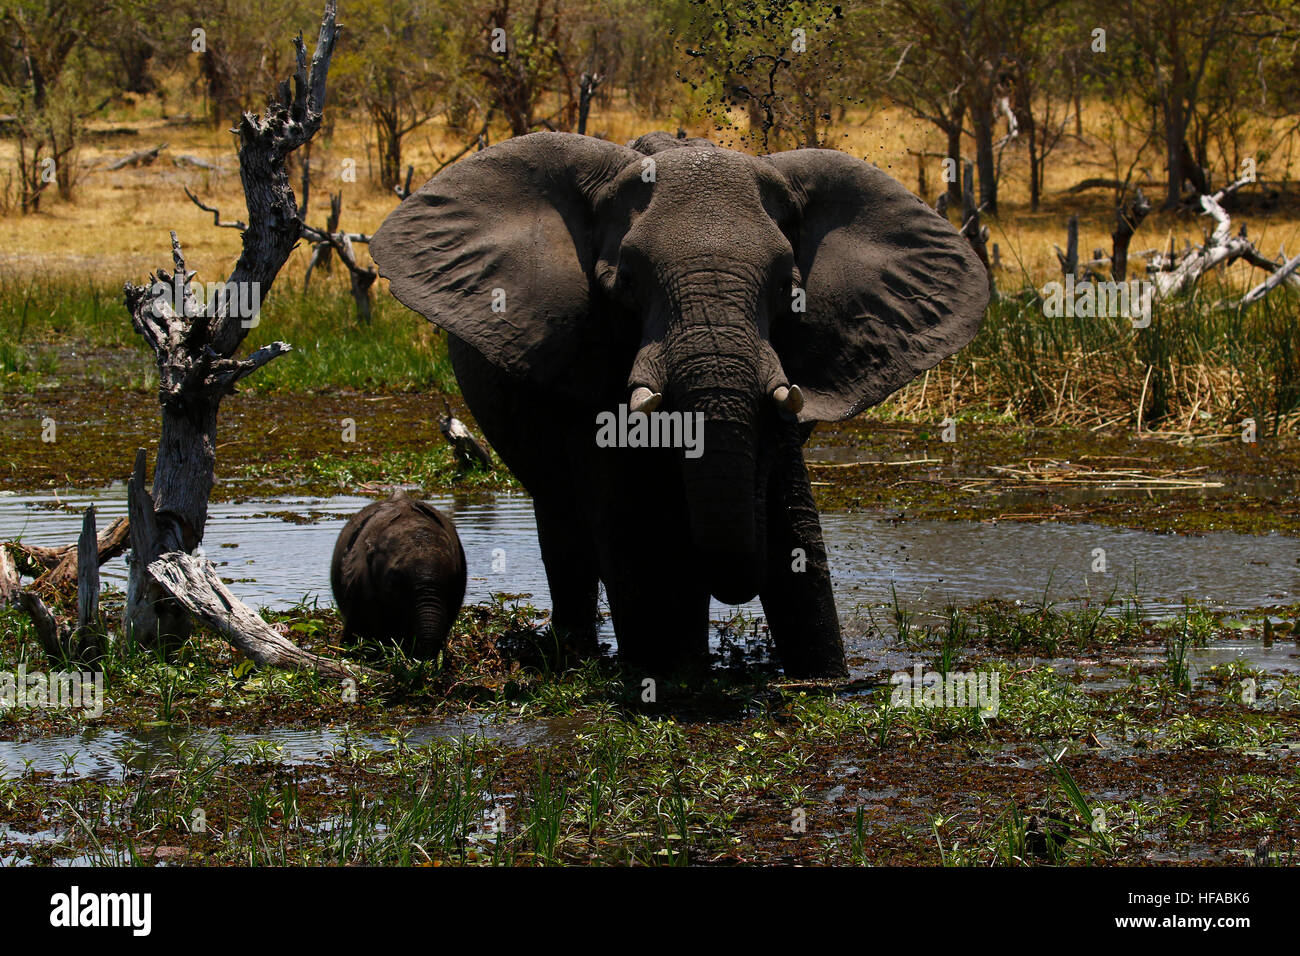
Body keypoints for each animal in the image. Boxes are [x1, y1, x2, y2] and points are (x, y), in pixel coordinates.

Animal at [370, 131, 988, 679]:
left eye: (787, 288)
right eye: (626, 284)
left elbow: (792, 526)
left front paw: (826, 680)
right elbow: (628, 523)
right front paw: (664, 681)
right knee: (564, 520)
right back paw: (584, 657)